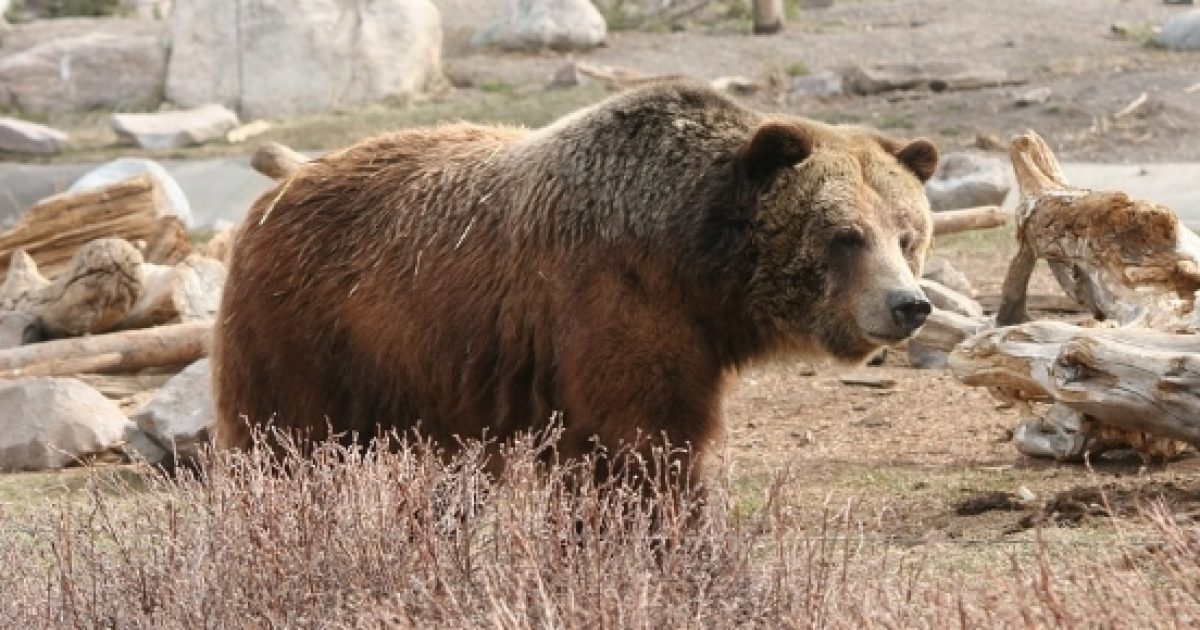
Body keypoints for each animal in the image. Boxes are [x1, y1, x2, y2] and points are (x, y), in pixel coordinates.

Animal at [213, 81, 937, 479]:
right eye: (845, 235)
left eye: (907, 235)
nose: (908, 305)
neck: (695, 263)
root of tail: (272, 194)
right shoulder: (614, 302)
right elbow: (644, 441)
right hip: (308, 334)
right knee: (281, 443)